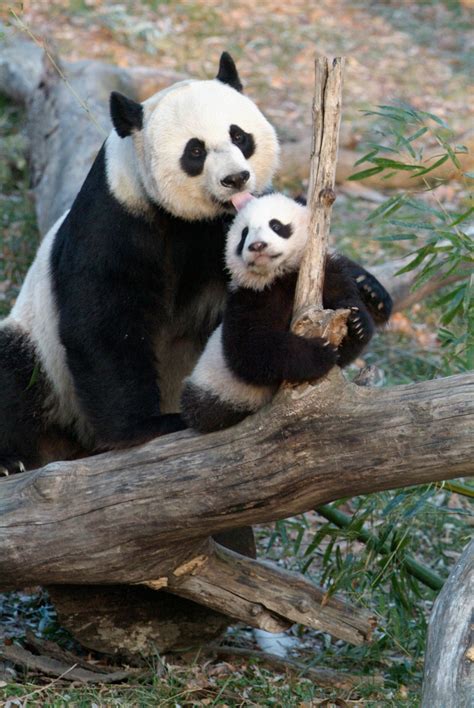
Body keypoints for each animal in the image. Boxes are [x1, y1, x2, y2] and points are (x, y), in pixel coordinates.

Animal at [181, 193, 392, 433]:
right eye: (244, 233)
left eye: (276, 225)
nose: (257, 245)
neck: (282, 274)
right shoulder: (252, 297)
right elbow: (251, 350)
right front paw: (319, 353)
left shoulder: (327, 273)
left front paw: (358, 322)